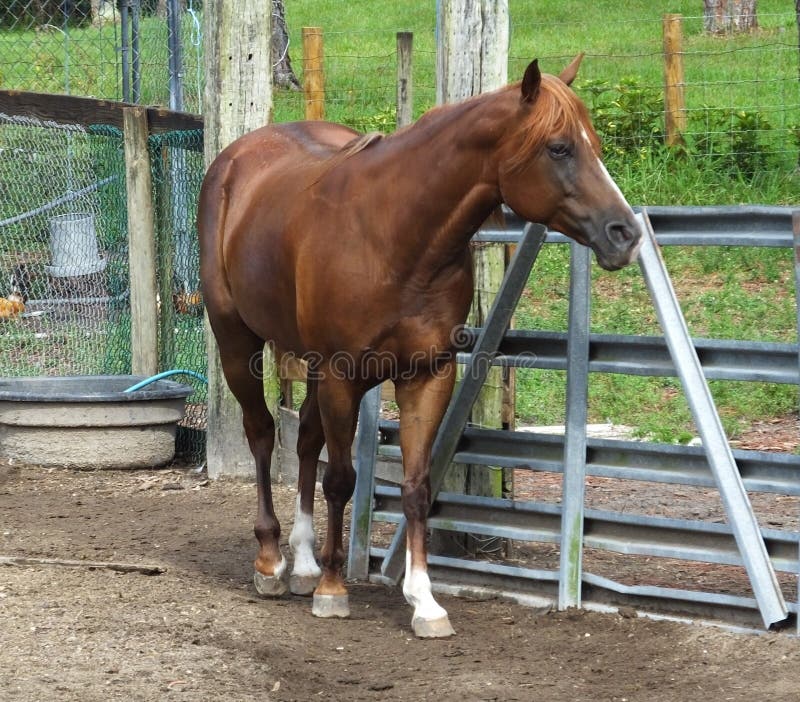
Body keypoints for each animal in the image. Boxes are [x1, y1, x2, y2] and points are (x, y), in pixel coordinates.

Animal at [198, 55, 642, 638]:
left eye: (594, 143)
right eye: (559, 147)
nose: (625, 233)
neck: (396, 235)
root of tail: (234, 161)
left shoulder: (426, 374)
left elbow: (414, 487)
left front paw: (423, 600)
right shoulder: (343, 374)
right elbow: (341, 480)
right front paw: (335, 590)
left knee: (306, 440)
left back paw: (305, 562)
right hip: (237, 342)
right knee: (263, 435)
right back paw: (272, 561)